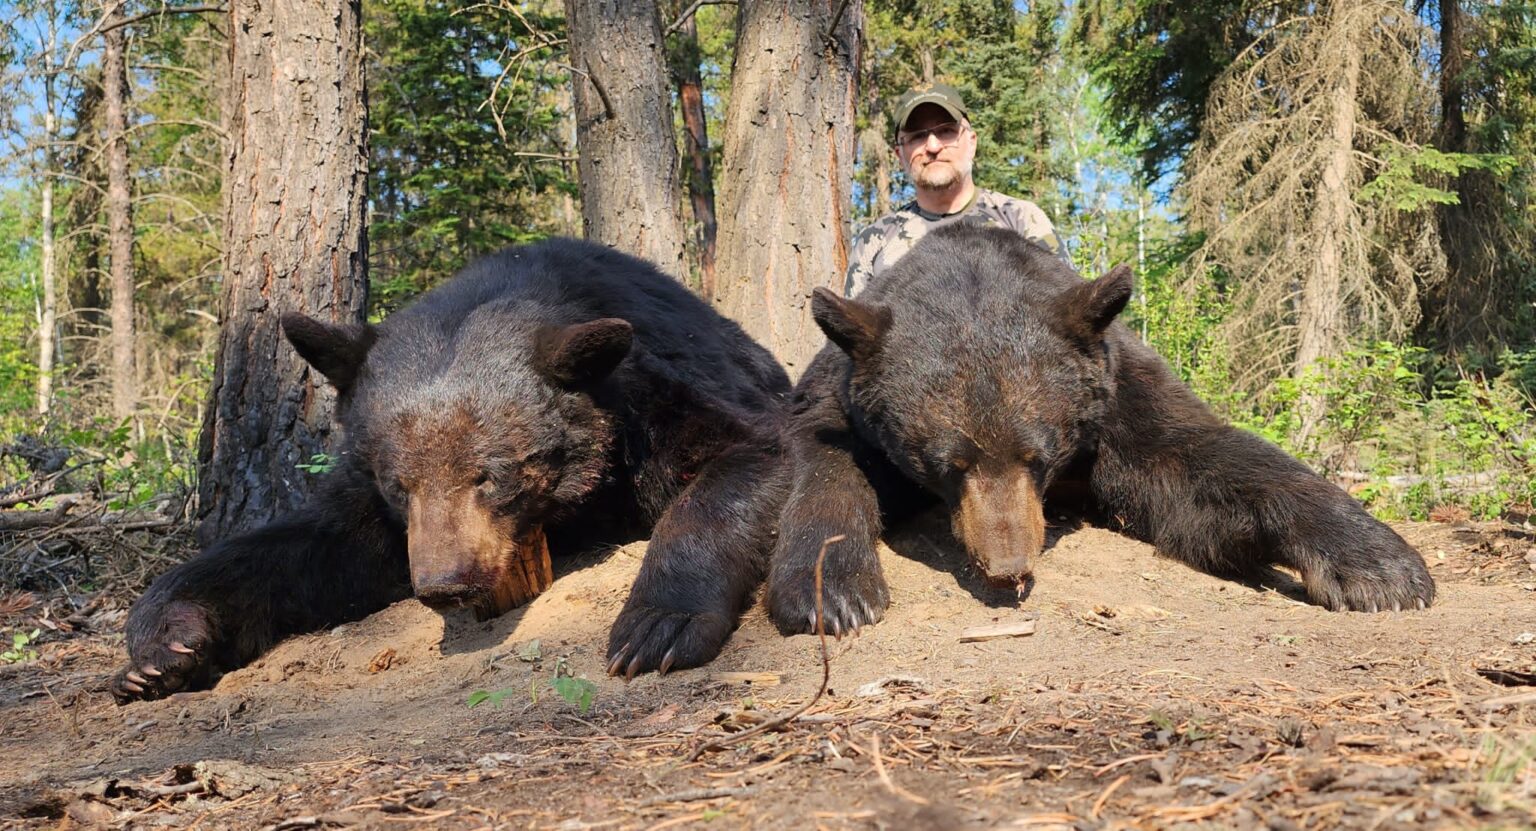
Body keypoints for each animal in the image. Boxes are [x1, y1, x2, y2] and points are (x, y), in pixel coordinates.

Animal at [110, 237, 790, 702]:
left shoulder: (646, 403)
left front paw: (656, 627)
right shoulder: (370, 502)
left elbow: (749, 452)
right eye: (400, 485)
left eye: (489, 473)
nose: (444, 582)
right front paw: (161, 649)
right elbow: (309, 550)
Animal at [766, 223, 1434, 636]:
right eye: (944, 465)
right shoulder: (841, 396)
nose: (1008, 566)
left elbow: (1195, 465)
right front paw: (832, 592)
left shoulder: (1116, 395)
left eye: (1038, 456)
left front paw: (1379, 566)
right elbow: (822, 461)